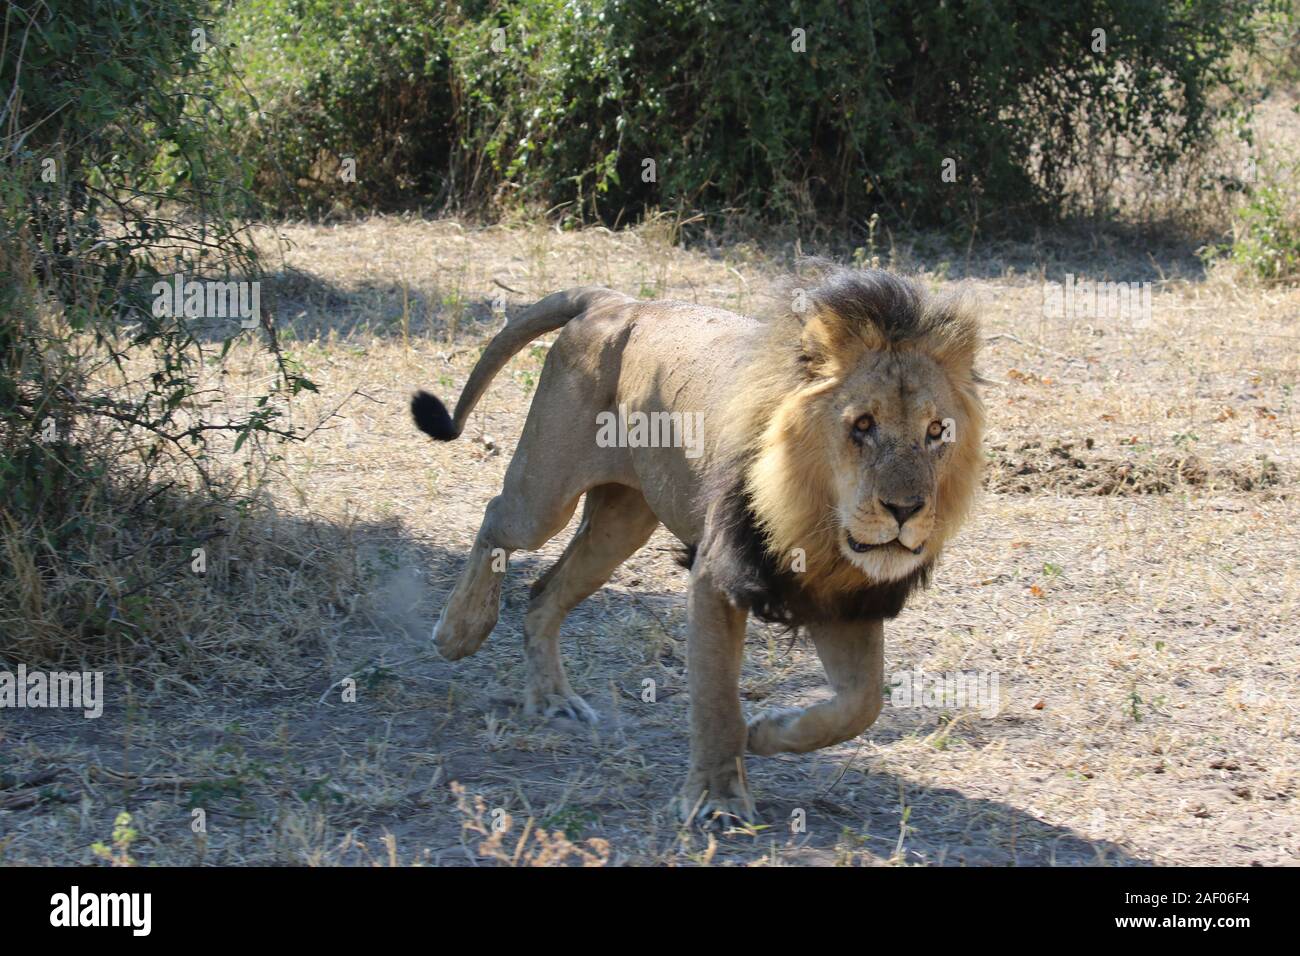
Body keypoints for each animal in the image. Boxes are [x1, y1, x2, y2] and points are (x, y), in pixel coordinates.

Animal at [411, 267, 985, 823]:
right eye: (862, 425)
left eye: (937, 431)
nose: (906, 509)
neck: (817, 524)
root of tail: (617, 301)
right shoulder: (717, 573)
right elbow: (716, 697)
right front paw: (717, 798)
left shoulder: (844, 599)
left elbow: (863, 704)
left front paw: (768, 732)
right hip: (546, 497)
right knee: (497, 520)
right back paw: (459, 631)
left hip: (621, 524)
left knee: (544, 594)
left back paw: (554, 700)